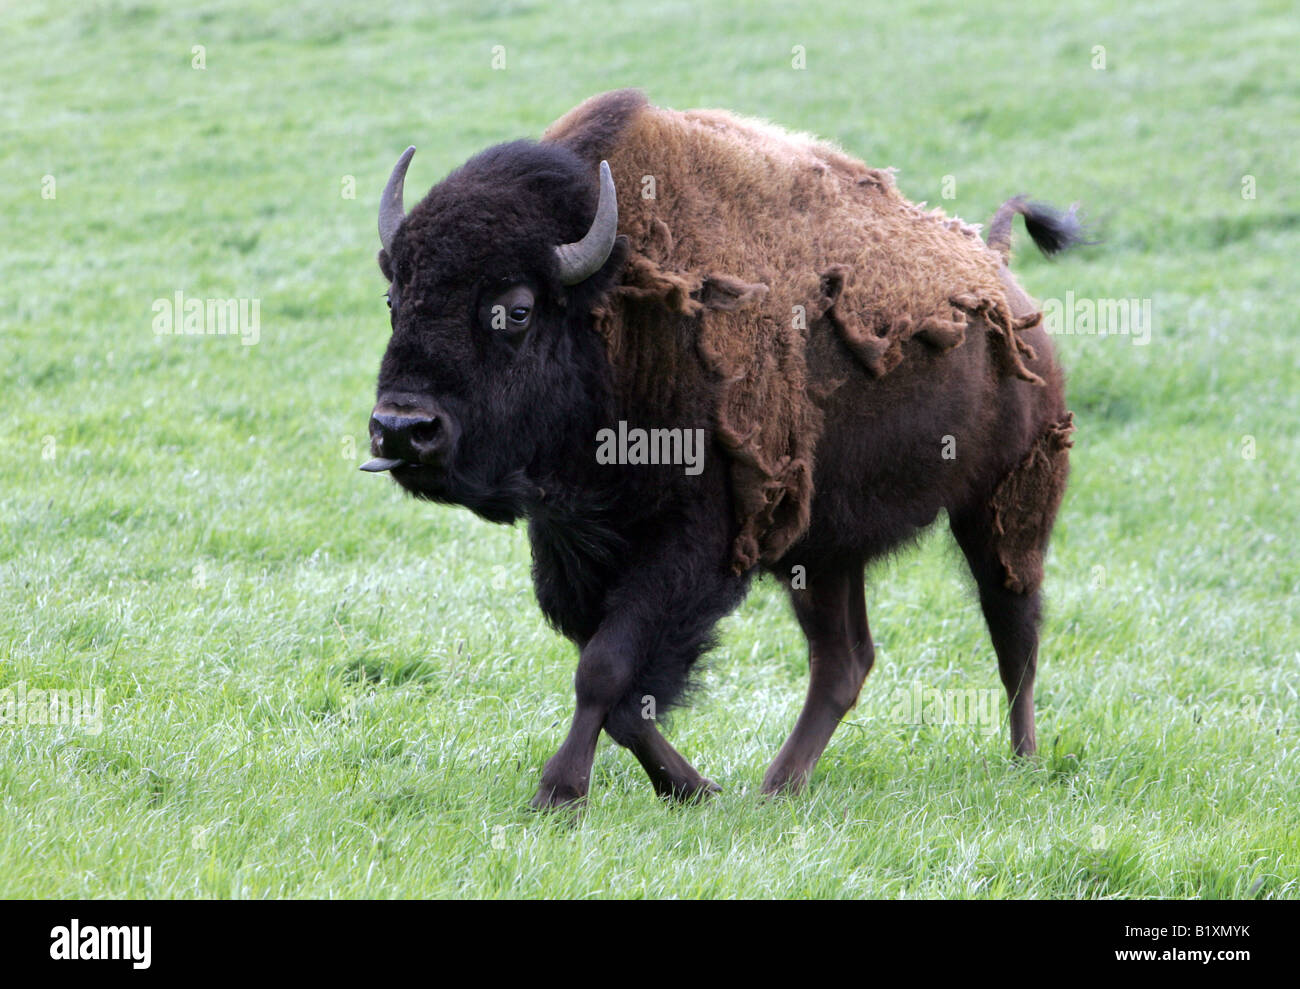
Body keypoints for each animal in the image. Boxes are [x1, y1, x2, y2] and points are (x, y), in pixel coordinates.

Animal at [362, 90, 1083, 808]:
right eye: (395, 296)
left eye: (515, 309)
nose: (401, 427)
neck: (616, 312)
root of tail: (1001, 277)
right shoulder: (575, 545)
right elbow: (617, 687)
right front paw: (693, 787)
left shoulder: (697, 543)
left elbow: (605, 670)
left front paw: (560, 793)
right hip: (822, 549)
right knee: (843, 660)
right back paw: (779, 786)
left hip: (1004, 508)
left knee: (1014, 631)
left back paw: (1023, 762)